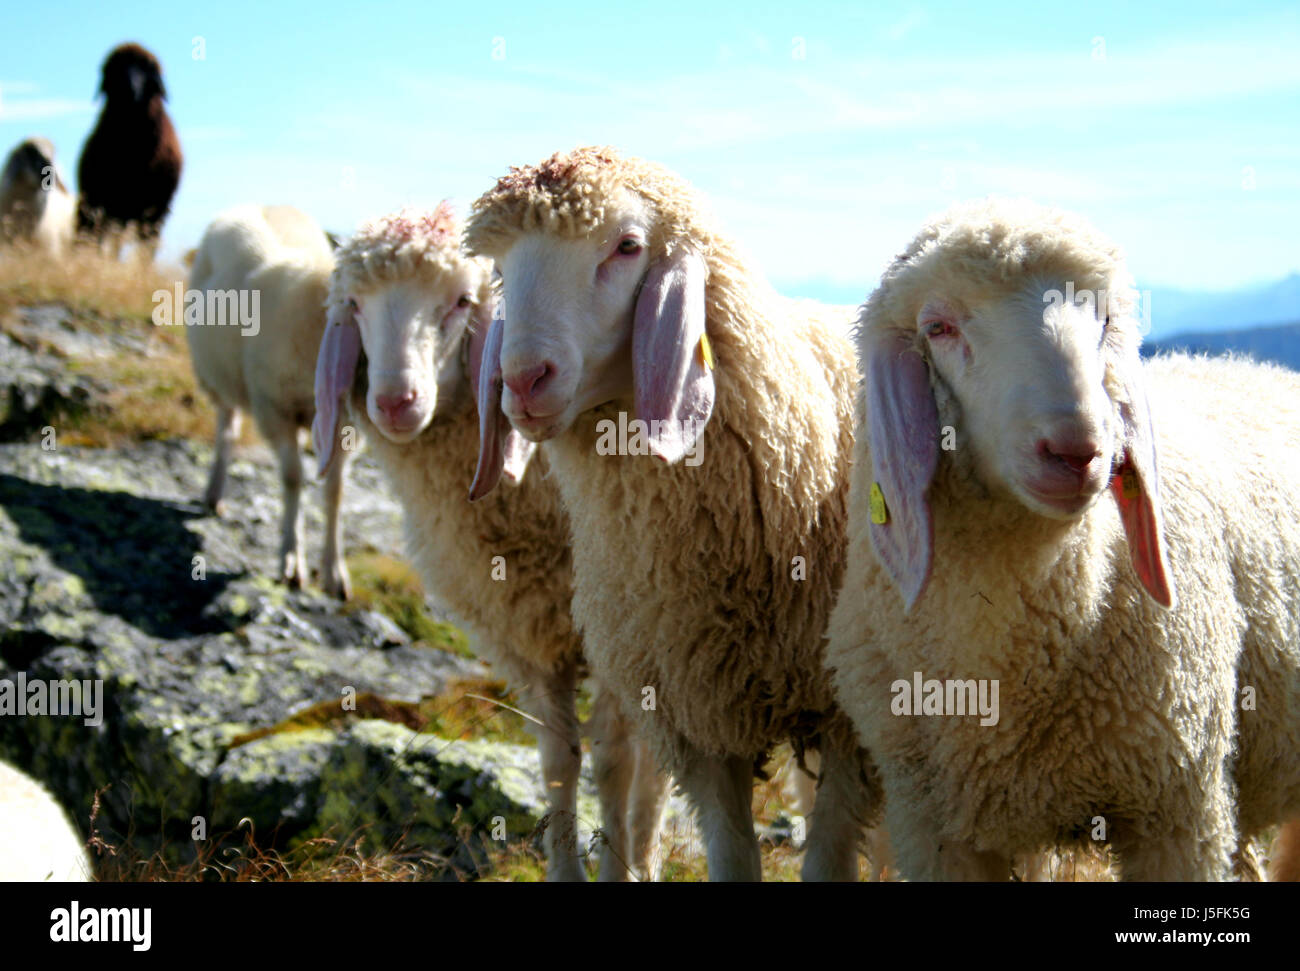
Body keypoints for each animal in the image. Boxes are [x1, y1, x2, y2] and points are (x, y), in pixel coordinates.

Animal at [76, 42, 183, 261]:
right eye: (114, 68)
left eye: (147, 68)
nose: (128, 88)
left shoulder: (156, 212)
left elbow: (146, 251)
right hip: (93, 207)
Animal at [186, 204, 350, 599]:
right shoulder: (273, 408)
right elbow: (292, 479)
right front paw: (291, 560)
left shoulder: (345, 425)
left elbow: (335, 492)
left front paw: (333, 571)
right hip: (219, 378)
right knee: (227, 431)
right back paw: (213, 492)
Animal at [312, 205, 668, 880]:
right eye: (357, 306)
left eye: (459, 302)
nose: (394, 403)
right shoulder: (523, 640)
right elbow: (558, 762)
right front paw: (565, 869)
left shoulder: (616, 636)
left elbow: (615, 761)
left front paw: (617, 868)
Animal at [467, 146, 880, 881]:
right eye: (501, 268)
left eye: (627, 246)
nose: (522, 380)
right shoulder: (696, 719)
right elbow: (733, 856)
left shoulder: (849, 722)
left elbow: (829, 857)